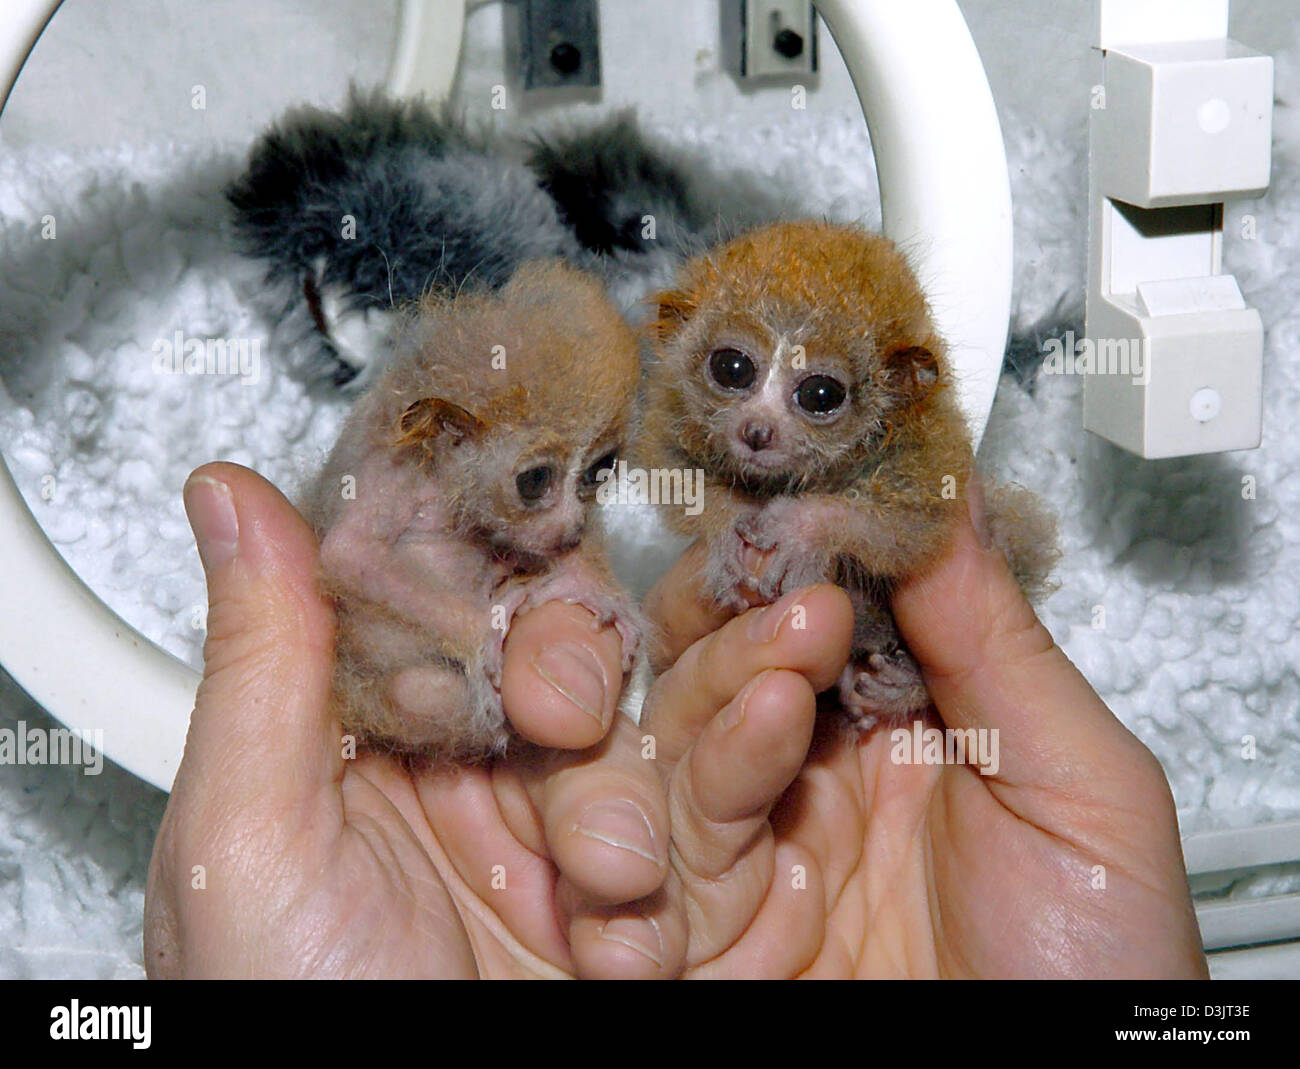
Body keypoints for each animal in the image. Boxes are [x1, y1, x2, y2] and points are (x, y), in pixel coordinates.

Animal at [303, 260, 643, 761]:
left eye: (599, 470)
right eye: (535, 481)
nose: (572, 530)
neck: (448, 483)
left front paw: (588, 584)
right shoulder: (393, 473)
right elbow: (350, 553)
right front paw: (487, 628)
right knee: (415, 692)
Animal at [637, 221, 1058, 730]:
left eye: (820, 395)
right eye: (731, 368)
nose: (757, 431)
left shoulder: (926, 450)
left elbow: (913, 524)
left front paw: (802, 528)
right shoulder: (672, 415)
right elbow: (671, 466)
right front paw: (727, 527)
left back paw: (902, 688)